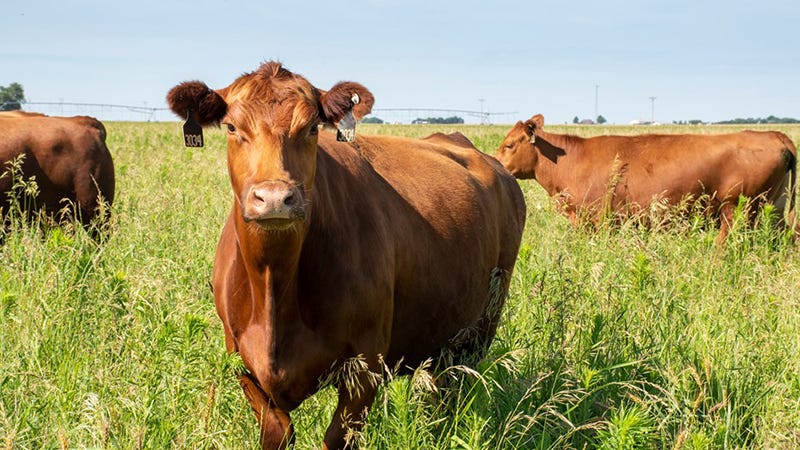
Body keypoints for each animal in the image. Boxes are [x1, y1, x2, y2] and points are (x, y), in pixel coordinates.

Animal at [166, 61, 526, 450]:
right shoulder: (241, 362)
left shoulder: (365, 365)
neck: (274, 288)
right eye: (232, 127)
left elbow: (338, 437)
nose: (275, 198)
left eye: (311, 127)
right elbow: (278, 433)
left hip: (482, 326)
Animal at [494, 114, 797, 244]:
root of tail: (775, 136)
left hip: (736, 210)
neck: (571, 162)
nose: (494, 163)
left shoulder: (602, 220)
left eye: (509, 145)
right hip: (774, 208)